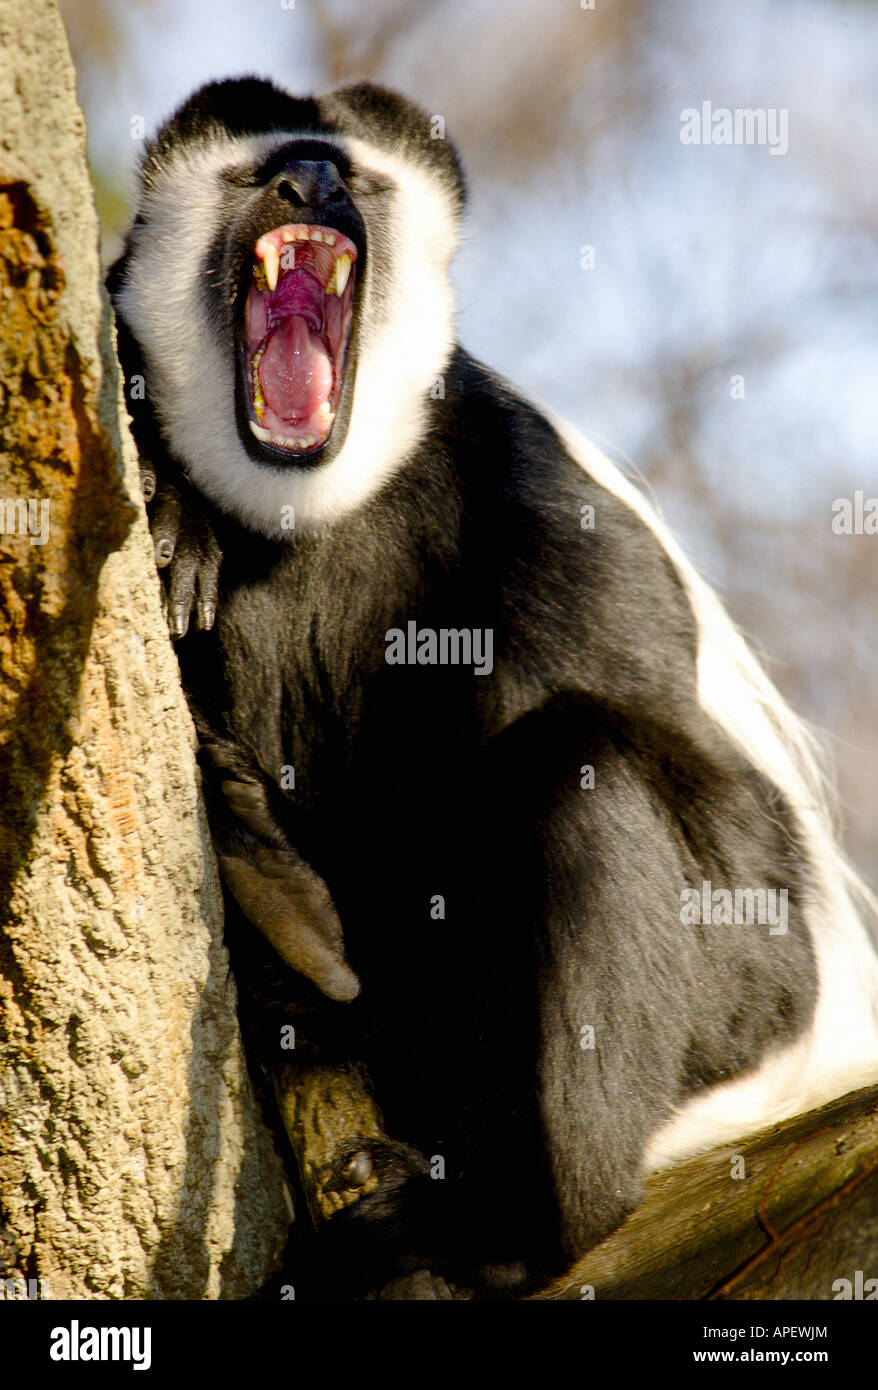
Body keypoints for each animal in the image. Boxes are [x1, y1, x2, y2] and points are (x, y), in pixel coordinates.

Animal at [108, 76, 878, 1297]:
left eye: (355, 178)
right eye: (262, 169)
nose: (310, 181)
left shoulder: (540, 502)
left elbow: (752, 884)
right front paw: (178, 510)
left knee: (590, 774)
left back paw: (492, 1211)